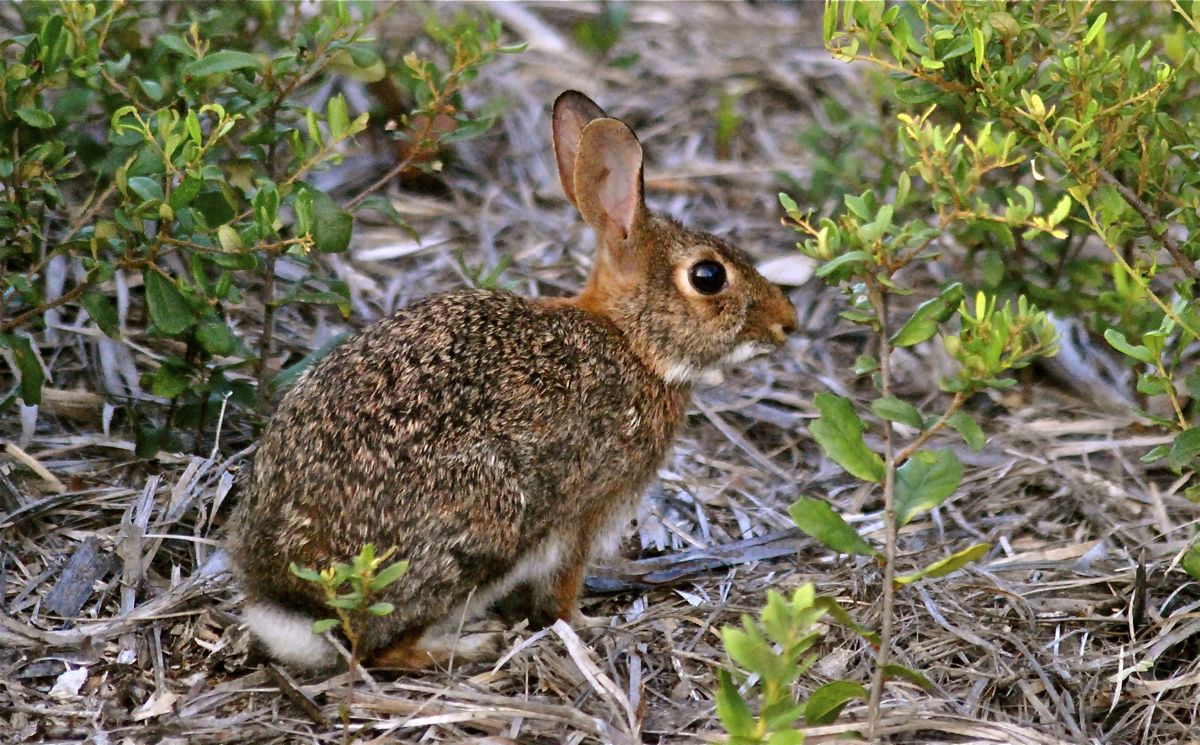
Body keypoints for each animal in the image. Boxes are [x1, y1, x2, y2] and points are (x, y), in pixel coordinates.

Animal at [231, 91, 798, 670]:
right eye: (708, 276)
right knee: (377, 647)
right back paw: (472, 644)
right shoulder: (587, 512)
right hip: (484, 526)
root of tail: (291, 604)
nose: (787, 322)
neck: (633, 342)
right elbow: (563, 589)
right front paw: (585, 626)